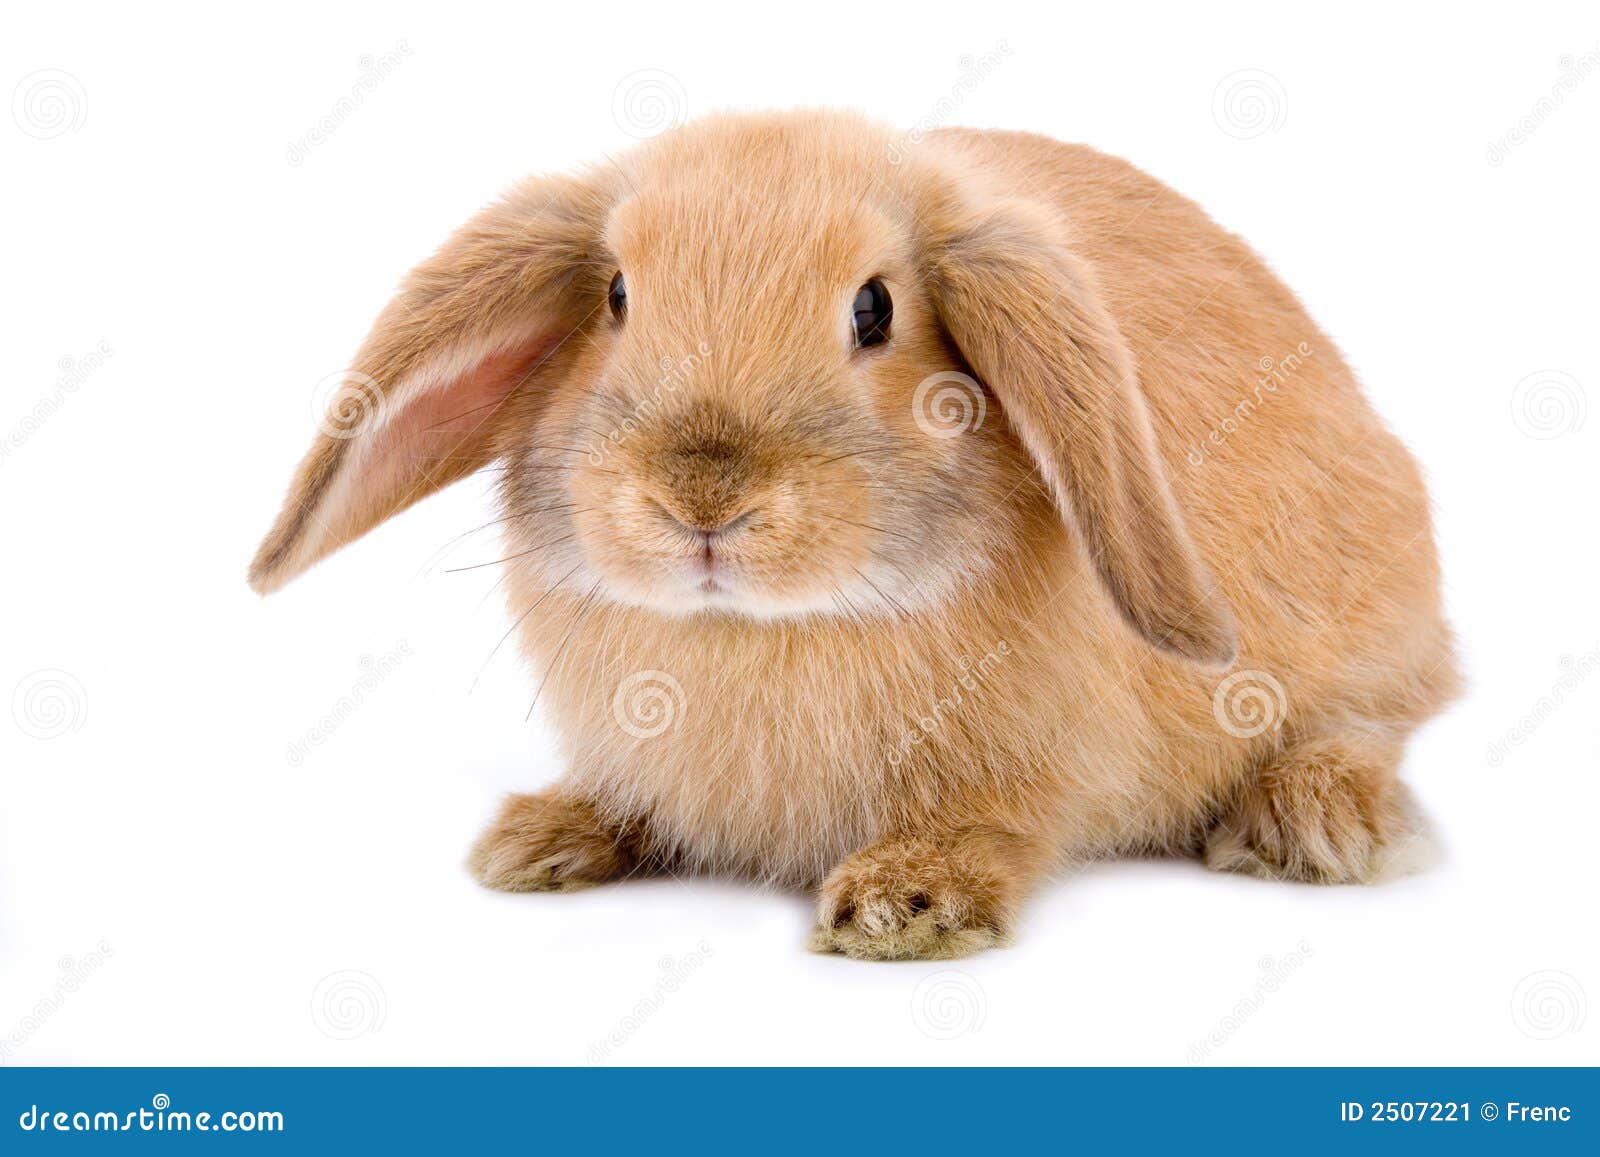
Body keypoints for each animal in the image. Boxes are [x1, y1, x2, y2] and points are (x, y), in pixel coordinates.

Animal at [250, 109, 1458, 960]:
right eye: (616, 296)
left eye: (873, 310)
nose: (702, 499)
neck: (760, 626)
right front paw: (544, 839)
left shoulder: (1039, 773)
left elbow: (1000, 828)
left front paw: (904, 903)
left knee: (1376, 718)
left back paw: (1313, 825)